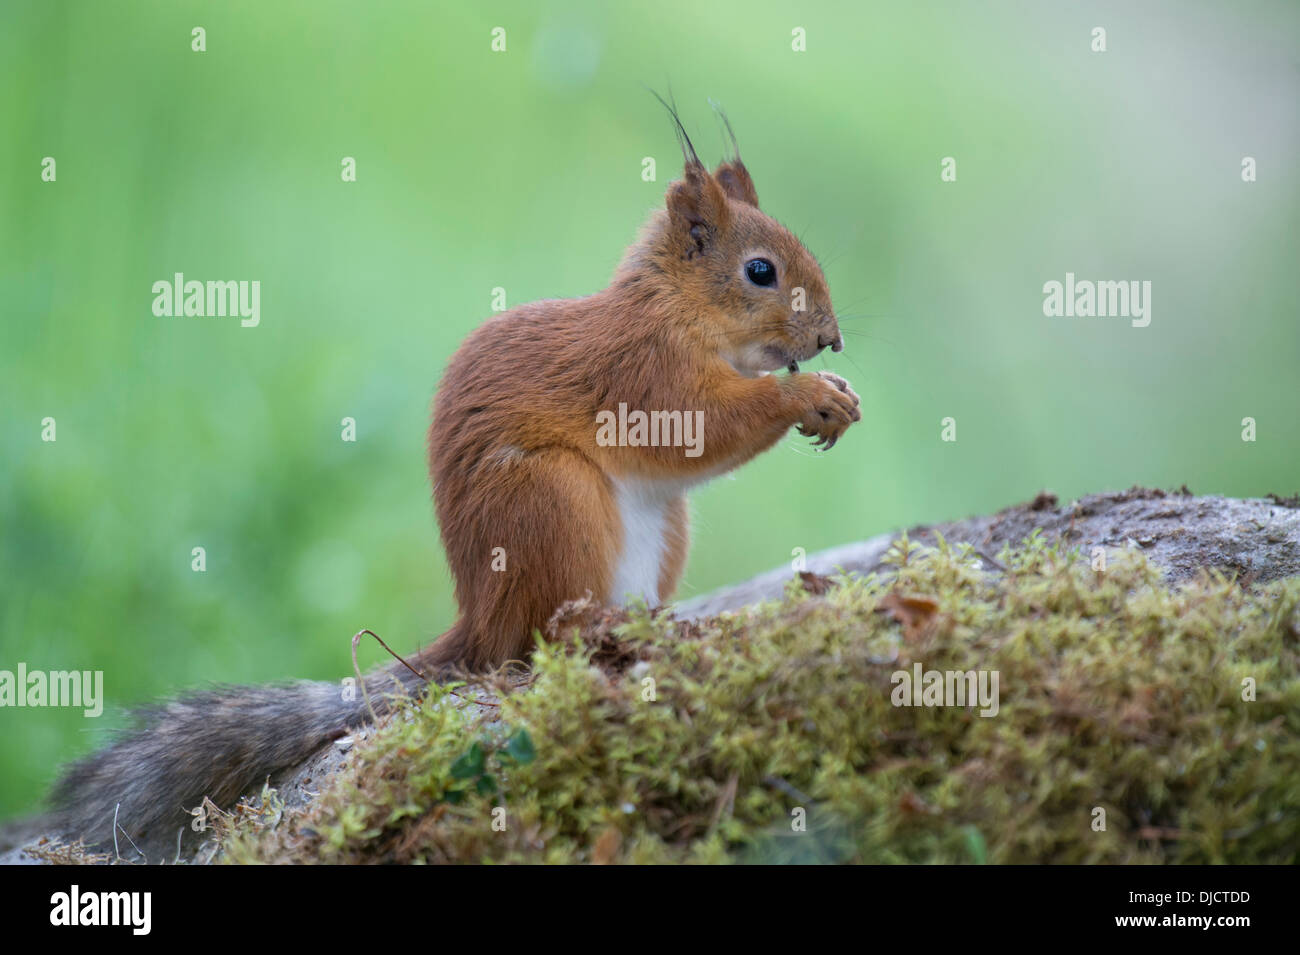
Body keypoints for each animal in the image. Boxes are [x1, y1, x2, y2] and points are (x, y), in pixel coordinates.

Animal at [43, 104, 860, 858]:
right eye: (761, 271)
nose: (832, 338)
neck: (678, 309)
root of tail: (478, 621)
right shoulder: (643, 374)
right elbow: (699, 426)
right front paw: (805, 395)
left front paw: (838, 395)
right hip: (553, 499)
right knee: (541, 639)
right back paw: (601, 629)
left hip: (658, 529)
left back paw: (656, 624)